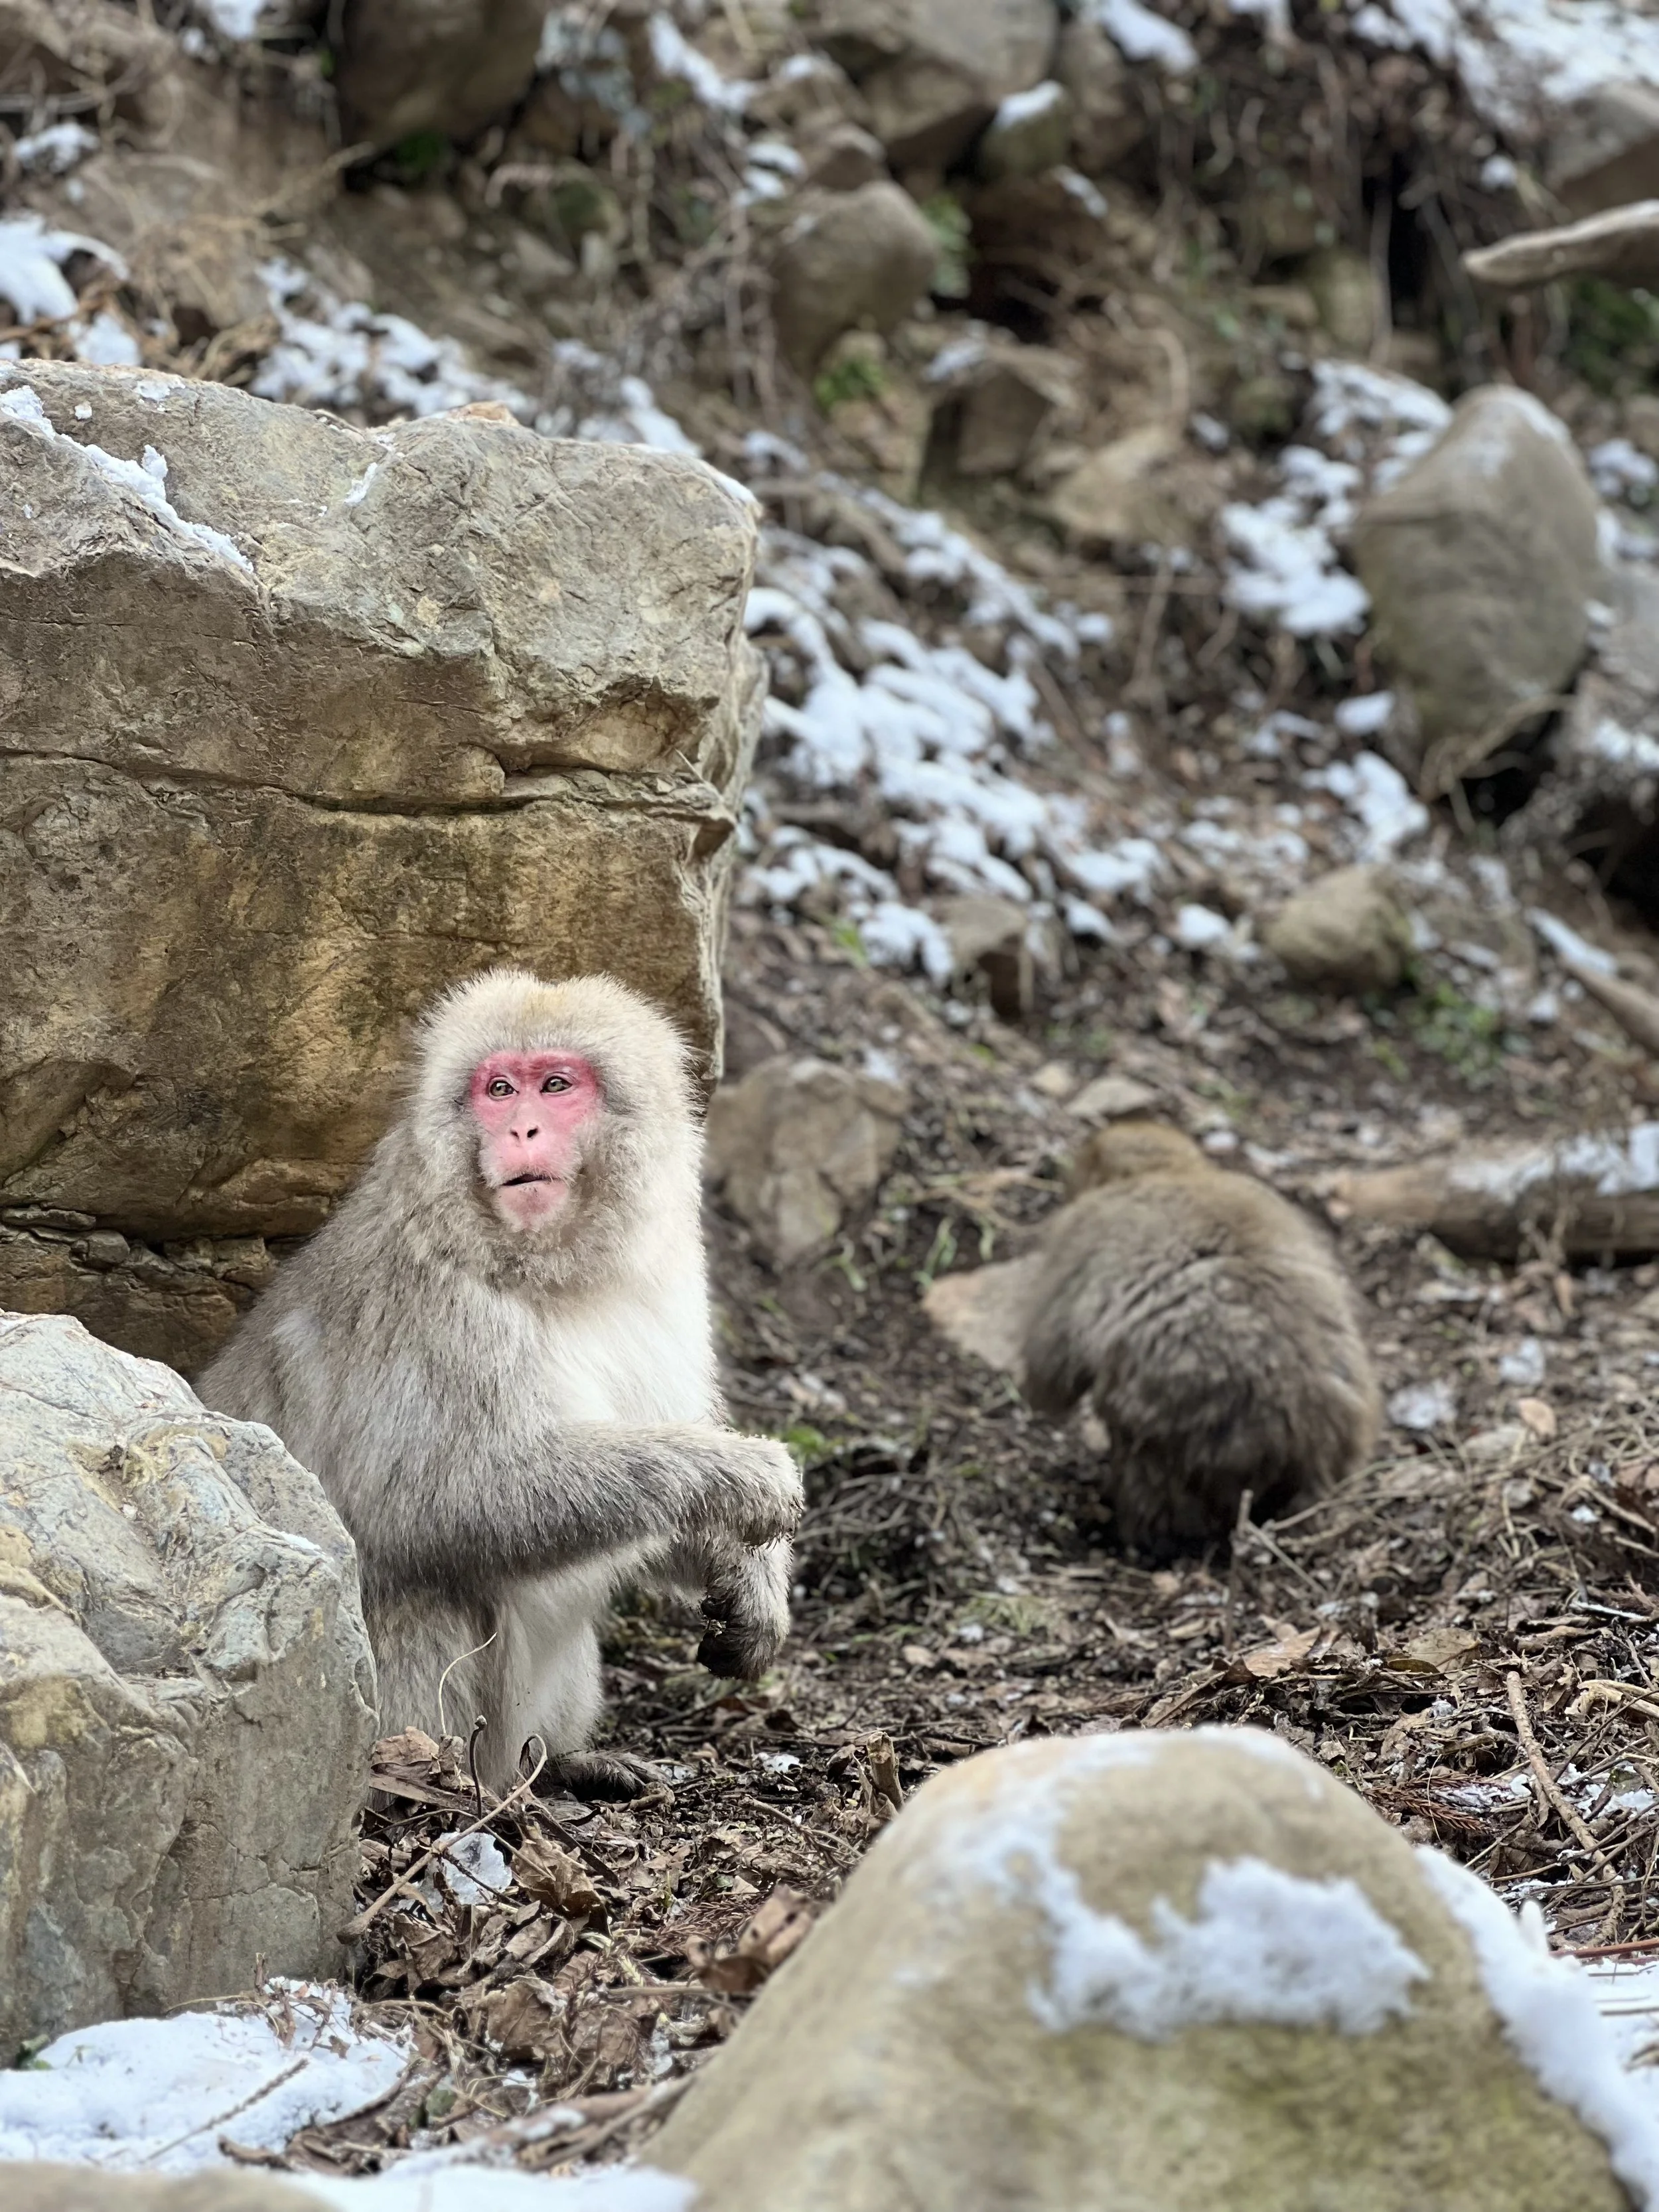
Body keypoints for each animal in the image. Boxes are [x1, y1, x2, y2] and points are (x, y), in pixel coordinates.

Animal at [197, 968, 804, 1800]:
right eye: (499, 1089)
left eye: (556, 1086)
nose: (521, 1131)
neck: (553, 1271)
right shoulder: (431, 1307)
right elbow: (441, 1501)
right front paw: (736, 1473)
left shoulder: (666, 1284)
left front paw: (750, 1580)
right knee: (428, 1588)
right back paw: (437, 1785)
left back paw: (571, 1765)